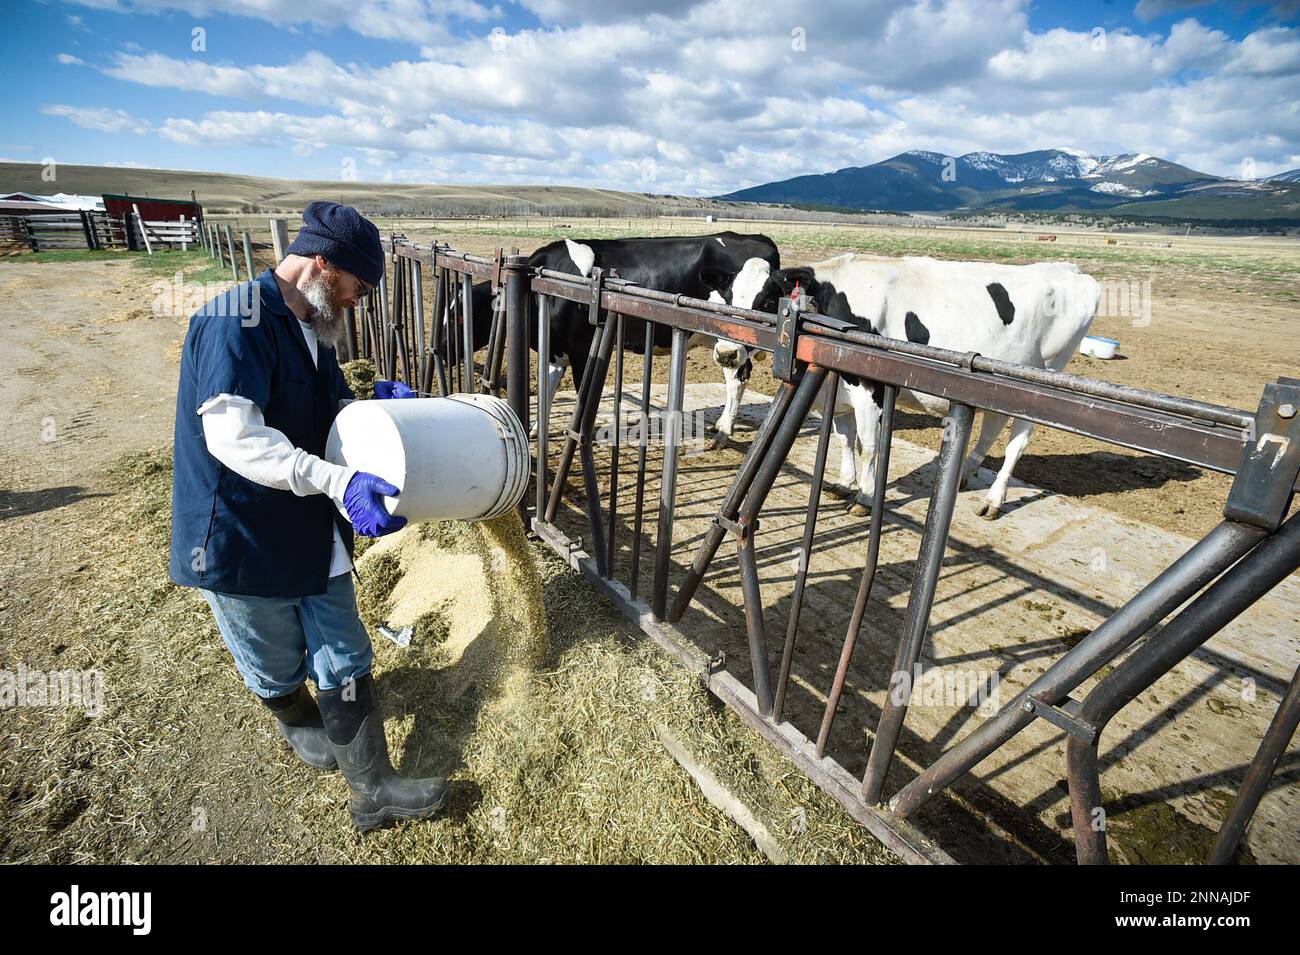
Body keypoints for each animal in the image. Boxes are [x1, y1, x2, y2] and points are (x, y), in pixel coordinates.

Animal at [714, 253, 1101, 520]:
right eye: (729, 296)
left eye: (767, 301)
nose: (725, 353)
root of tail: (1070, 270)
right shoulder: (838, 388)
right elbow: (844, 437)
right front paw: (843, 484)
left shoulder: (869, 387)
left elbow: (868, 446)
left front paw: (865, 497)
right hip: (1002, 385)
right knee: (992, 427)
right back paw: (965, 474)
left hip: (1046, 378)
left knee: (1018, 440)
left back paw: (994, 499)